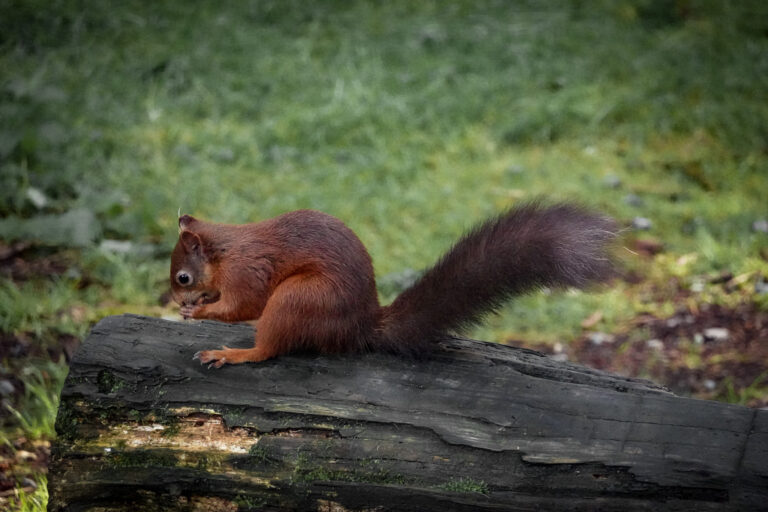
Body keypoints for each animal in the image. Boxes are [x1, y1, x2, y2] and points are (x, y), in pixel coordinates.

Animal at [170, 202, 616, 368]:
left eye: (182, 277)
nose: (176, 298)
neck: (226, 250)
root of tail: (358, 327)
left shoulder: (248, 271)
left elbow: (243, 306)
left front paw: (199, 309)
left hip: (299, 298)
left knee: (269, 348)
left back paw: (236, 353)